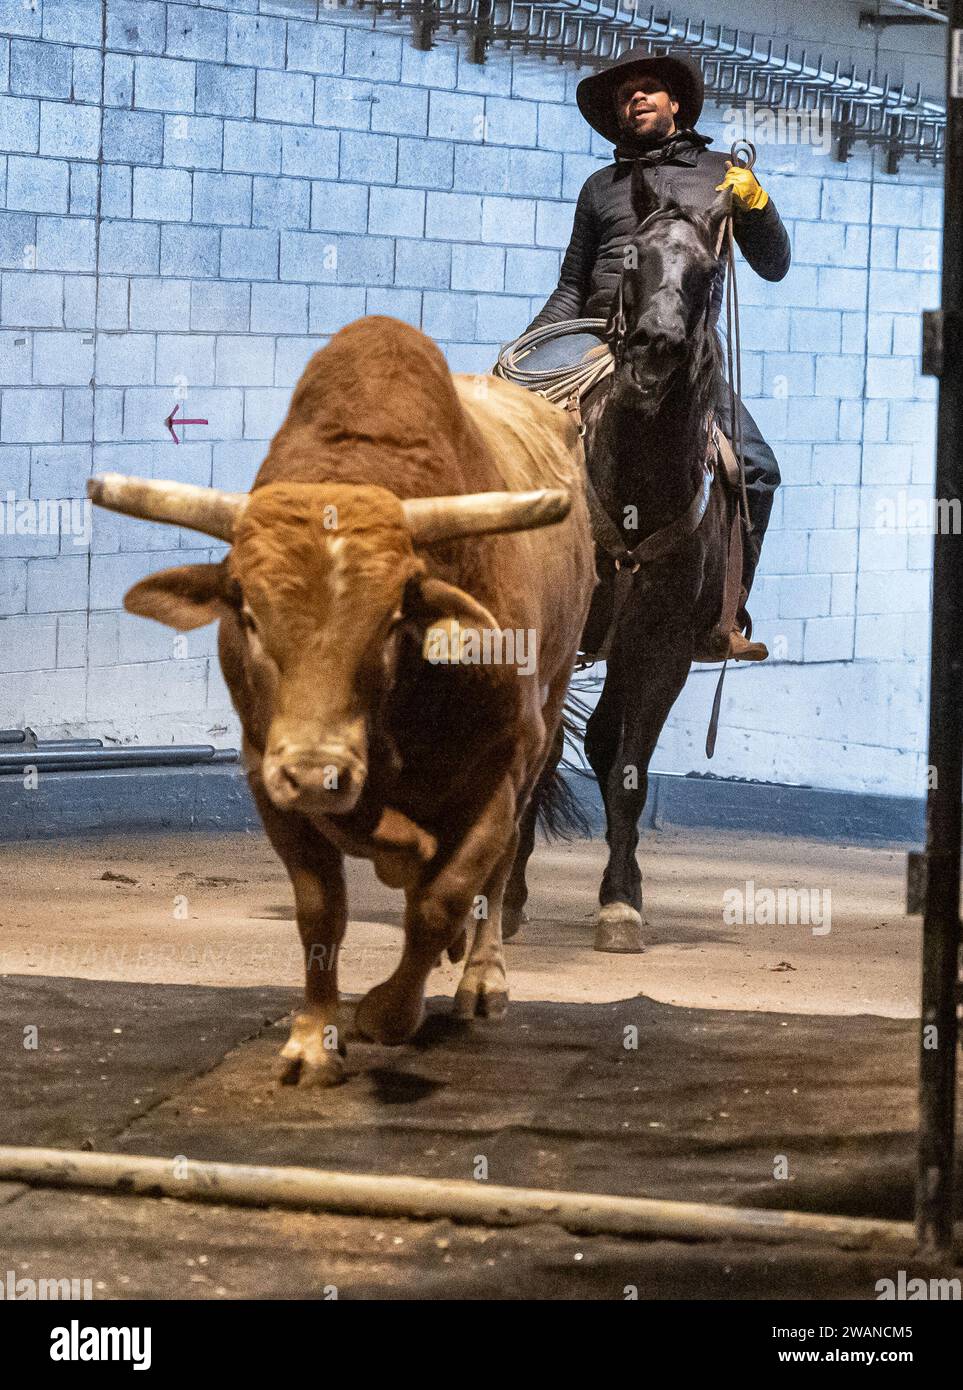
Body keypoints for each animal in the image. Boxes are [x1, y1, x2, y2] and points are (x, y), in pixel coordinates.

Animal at [88, 316, 595, 1087]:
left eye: (392, 621)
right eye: (247, 612)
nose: (314, 770)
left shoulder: (502, 770)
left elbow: (450, 893)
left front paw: (387, 1011)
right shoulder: (265, 772)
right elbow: (321, 909)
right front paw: (313, 1040)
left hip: (551, 708)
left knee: (501, 866)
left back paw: (481, 975)